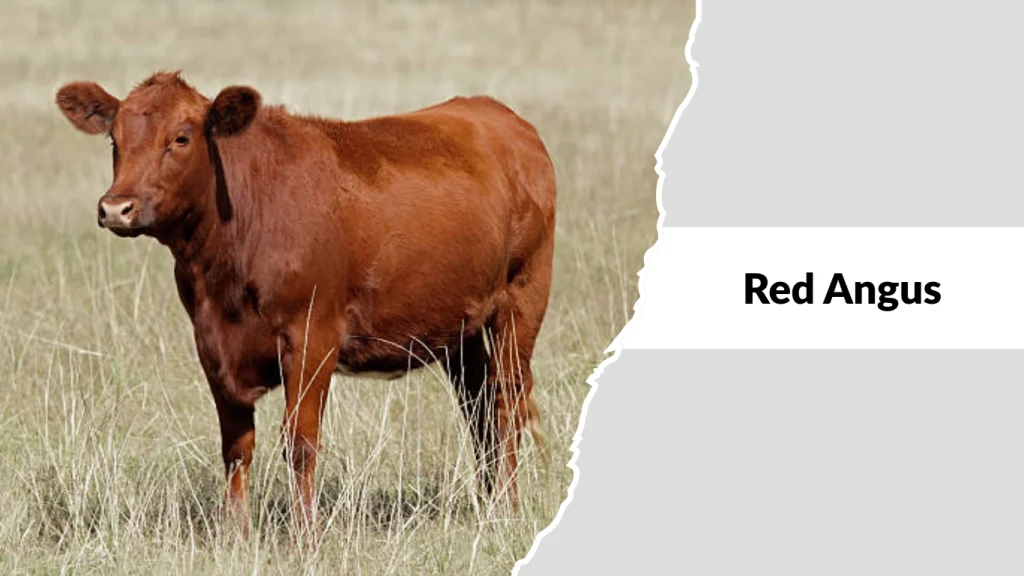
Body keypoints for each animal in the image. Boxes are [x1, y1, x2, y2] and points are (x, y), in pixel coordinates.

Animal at [54, 71, 556, 528]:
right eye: (114, 138)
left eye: (180, 137)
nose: (117, 207)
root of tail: (498, 115)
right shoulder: (211, 343)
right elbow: (236, 447)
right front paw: (235, 534)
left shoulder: (313, 335)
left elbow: (300, 441)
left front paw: (304, 537)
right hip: (460, 328)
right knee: (479, 409)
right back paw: (489, 503)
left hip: (522, 300)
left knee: (506, 402)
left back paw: (508, 508)